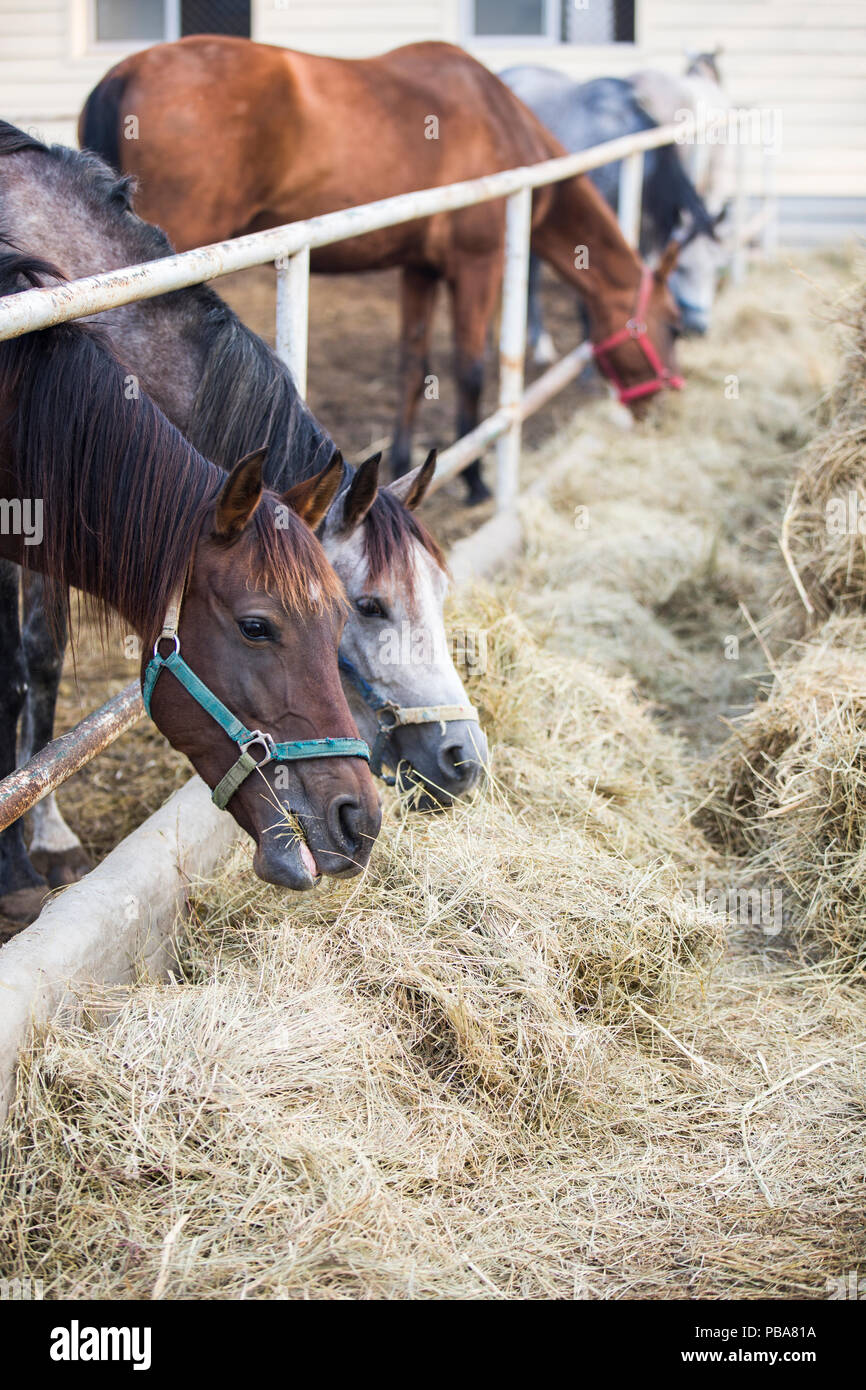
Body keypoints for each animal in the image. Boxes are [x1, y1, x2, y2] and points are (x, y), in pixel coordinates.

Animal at [79, 37, 685, 504]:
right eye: (676, 326)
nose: (662, 407)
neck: (498, 120)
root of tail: (123, 74)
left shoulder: (419, 269)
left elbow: (412, 365)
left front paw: (402, 462)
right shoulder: (479, 266)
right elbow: (470, 369)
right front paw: (474, 480)